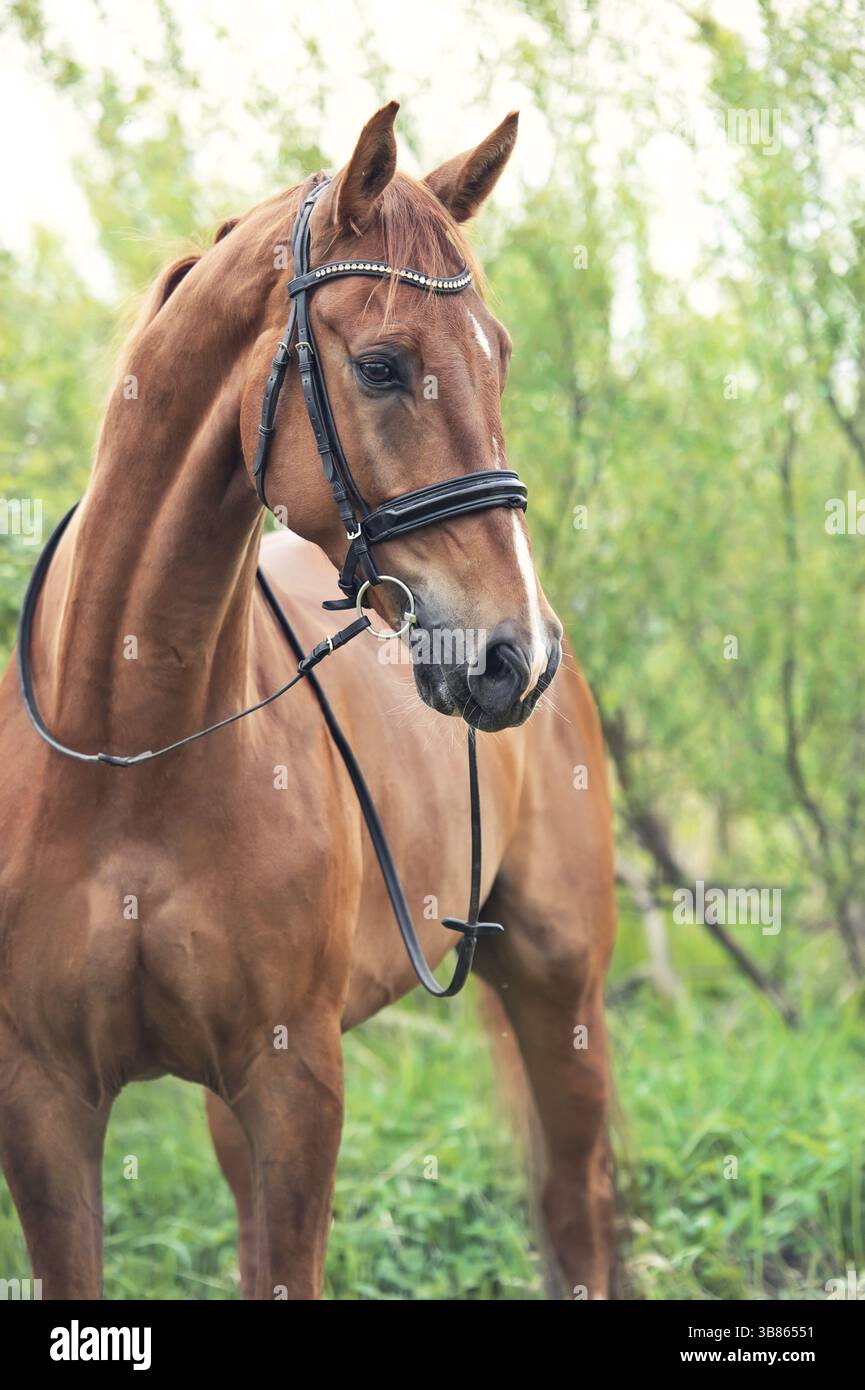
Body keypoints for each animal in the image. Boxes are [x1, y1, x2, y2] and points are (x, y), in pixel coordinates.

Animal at [0, 103, 616, 1300]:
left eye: (498, 357)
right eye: (380, 366)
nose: (512, 655)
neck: (128, 750)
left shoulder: (293, 1086)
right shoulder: (44, 1101)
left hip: (559, 998)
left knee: (579, 1223)